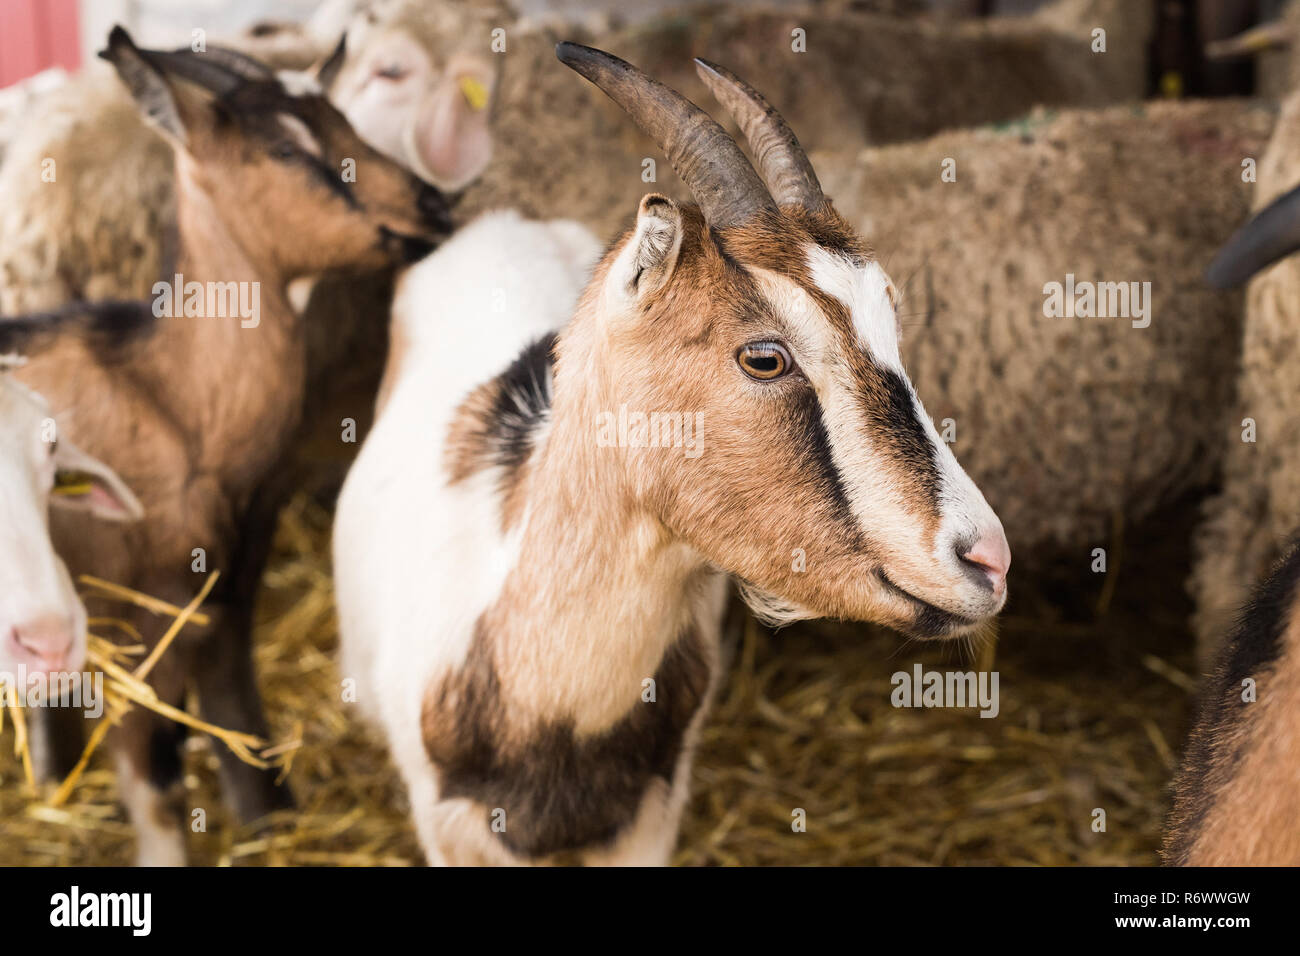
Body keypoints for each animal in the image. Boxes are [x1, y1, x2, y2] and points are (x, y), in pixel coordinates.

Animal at [5, 27, 449, 865]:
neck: (169, 398)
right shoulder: (128, 623)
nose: (434, 204)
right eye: (284, 147)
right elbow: (153, 773)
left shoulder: (213, 591)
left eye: (343, 117)